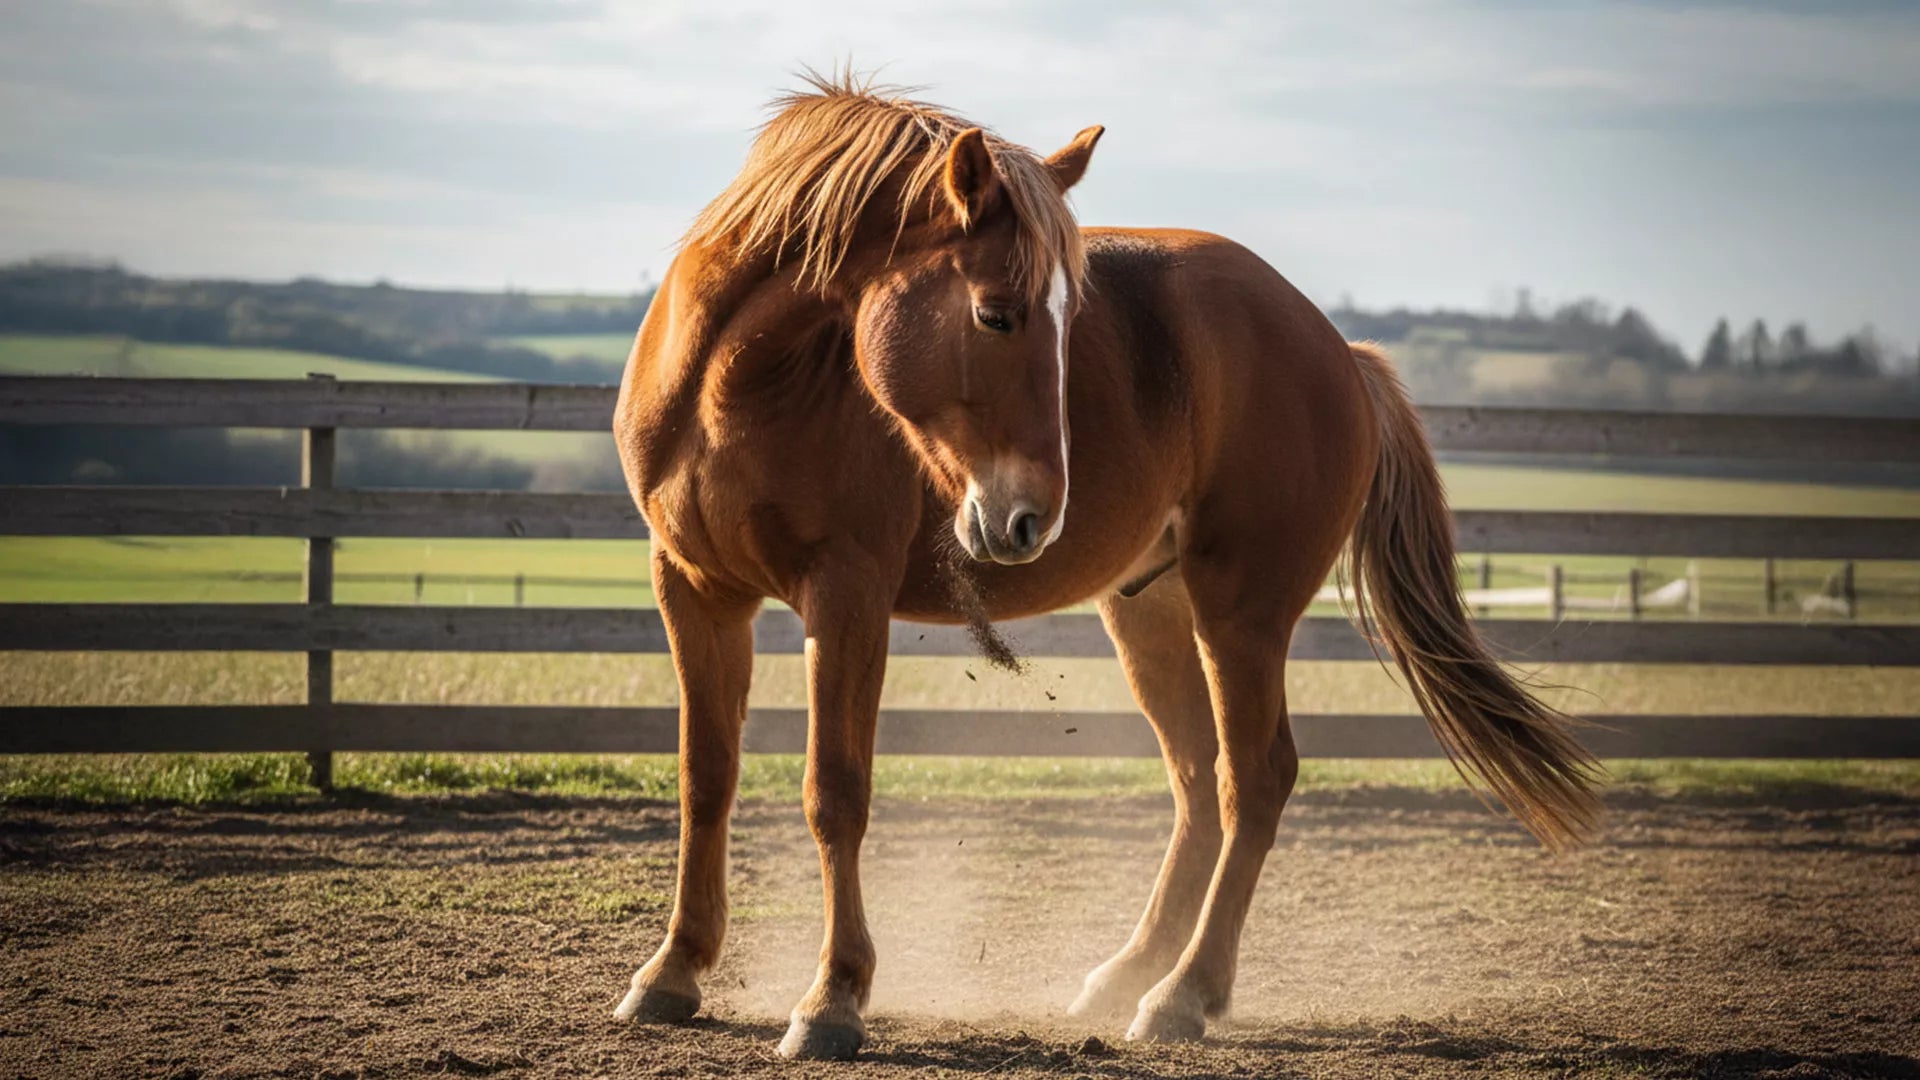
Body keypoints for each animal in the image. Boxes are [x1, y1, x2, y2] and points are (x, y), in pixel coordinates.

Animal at [610, 73, 1601, 1061]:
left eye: (1065, 322)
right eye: (996, 314)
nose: (1034, 516)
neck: (737, 385)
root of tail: (1338, 352)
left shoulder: (845, 598)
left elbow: (835, 792)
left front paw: (833, 998)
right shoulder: (693, 591)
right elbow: (706, 777)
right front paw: (673, 971)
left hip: (1241, 614)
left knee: (1254, 779)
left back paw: (1183, 994)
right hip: (1148, 611)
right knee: (1198, 781)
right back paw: (1127, 974)